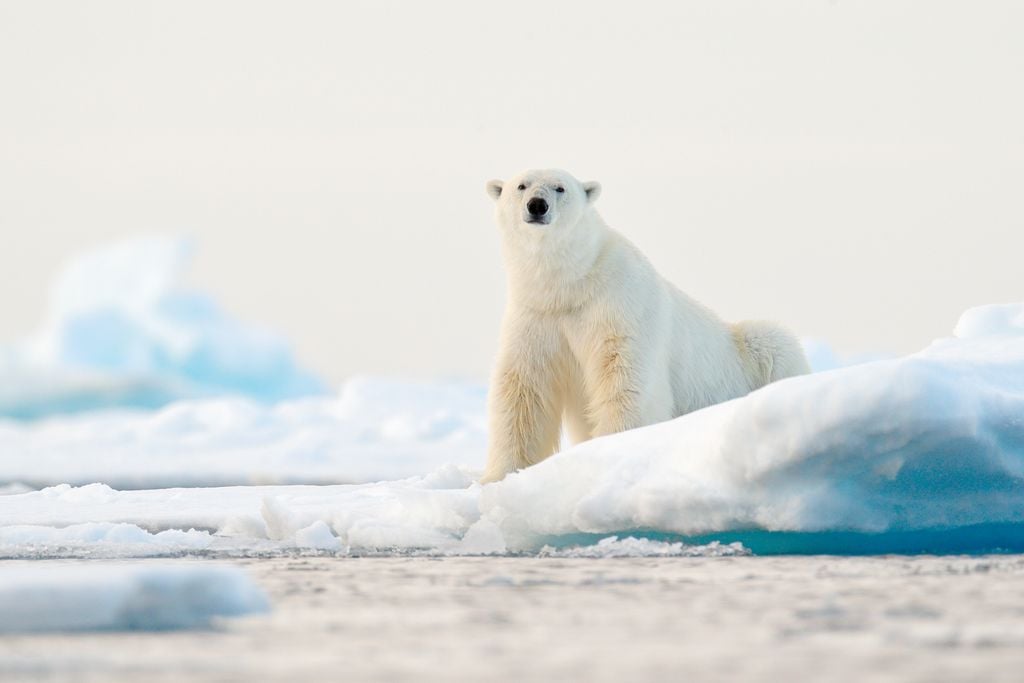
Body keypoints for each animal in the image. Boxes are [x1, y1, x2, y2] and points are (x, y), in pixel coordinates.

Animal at [480, 168, 810, 483]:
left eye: (560, 188)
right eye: (522, 185)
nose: (537, 205)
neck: (572, 283)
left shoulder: (619, 303)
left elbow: (624, 376)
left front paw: (613, 449)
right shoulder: (537, 316)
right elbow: (524, 390)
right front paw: (497, 476)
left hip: (751, 352)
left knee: (773, 343)